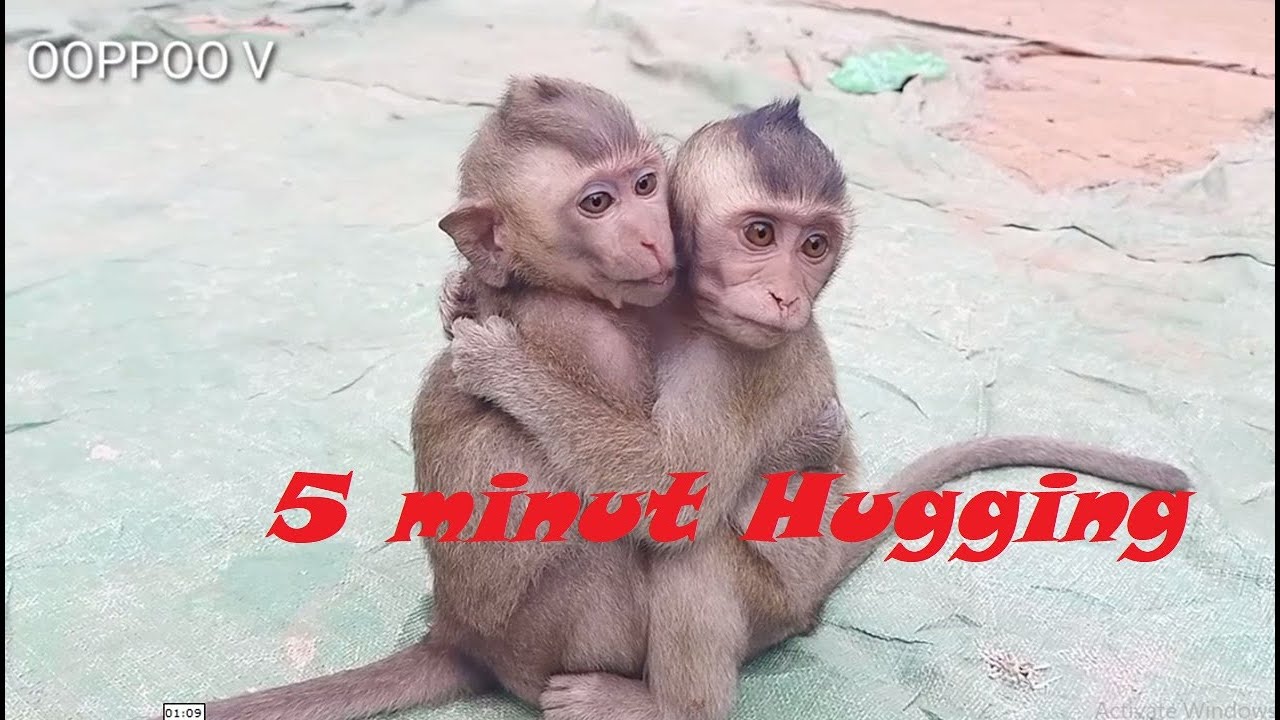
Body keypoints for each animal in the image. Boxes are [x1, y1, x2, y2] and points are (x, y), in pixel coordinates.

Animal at [445, 98, 1192, 720]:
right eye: (759, 235)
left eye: (813, 246)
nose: (786, 296)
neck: (680, 309)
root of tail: (812, 593)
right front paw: (459, 298)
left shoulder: (739, 362)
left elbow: (676, 494)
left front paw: (500, 364)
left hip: (774, 606)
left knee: (697, 554)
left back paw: (665, 708)